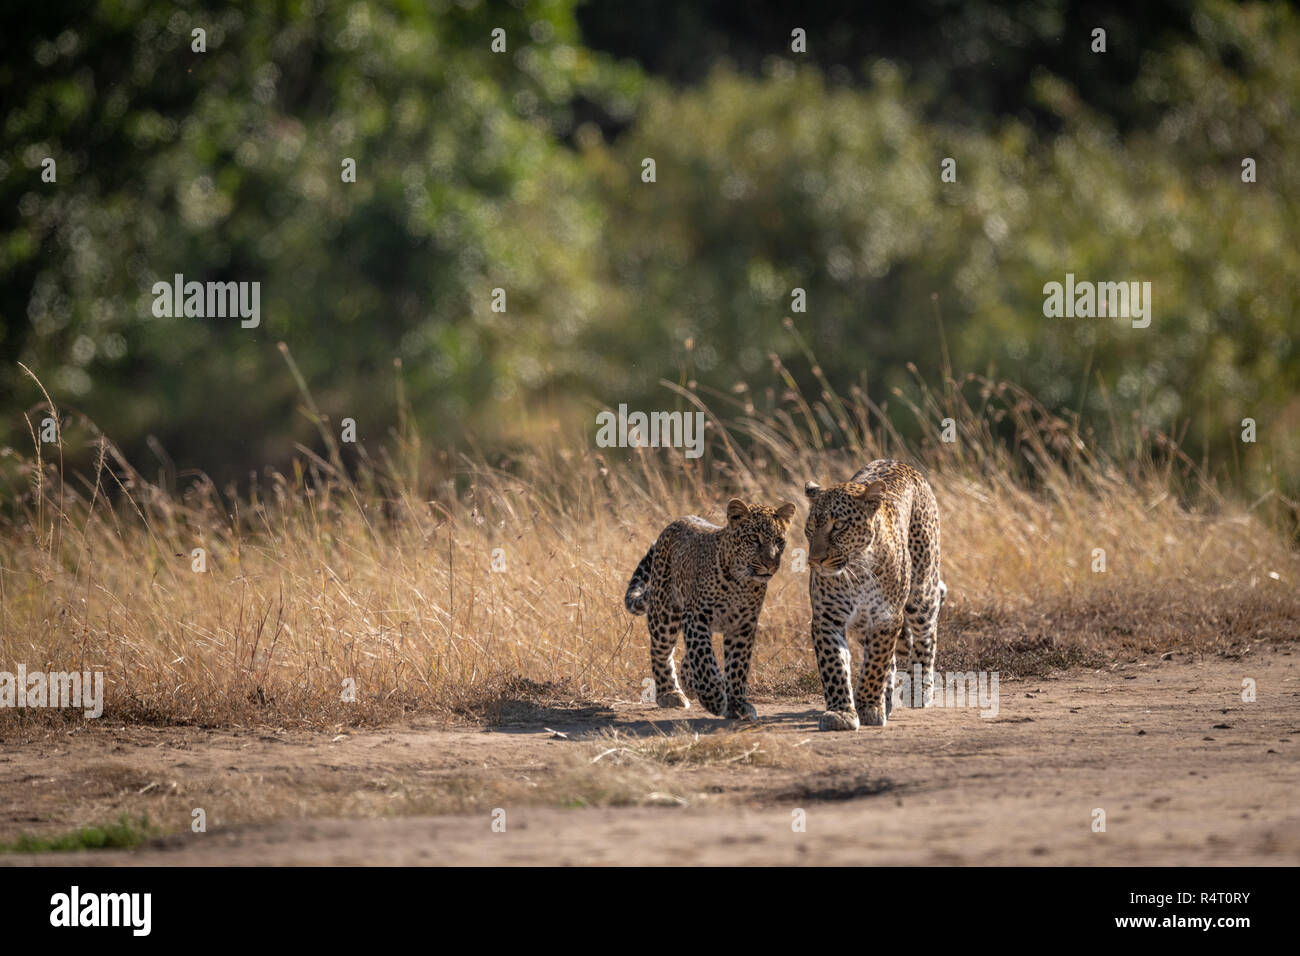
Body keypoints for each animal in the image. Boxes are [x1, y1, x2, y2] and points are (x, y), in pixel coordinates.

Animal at [625, 498, 796, 719]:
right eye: (753, 538)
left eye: (779, 541)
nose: (770, 564)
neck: (740, 581)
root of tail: (677, 521)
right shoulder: (696, 617)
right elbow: (703, 658)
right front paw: (714, 698)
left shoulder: (743, 625)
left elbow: (737, 666)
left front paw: (737, 704)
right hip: (665, 612)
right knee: (661, 651)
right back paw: (670, 693)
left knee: (686, 659)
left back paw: (689, 683)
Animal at [803, 459, 945, 731]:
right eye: (810, 528)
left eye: (839, 526)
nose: (815, 561)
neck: (858, 570)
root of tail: (901, 462)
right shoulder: (827, 618)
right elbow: (835, 666)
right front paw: (841, 713)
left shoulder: (886, 618)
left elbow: (875, 665)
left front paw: (868, 707)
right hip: (863, 624)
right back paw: (887, 698)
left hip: (922, 592)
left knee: (926, 633)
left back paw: (920, 689)